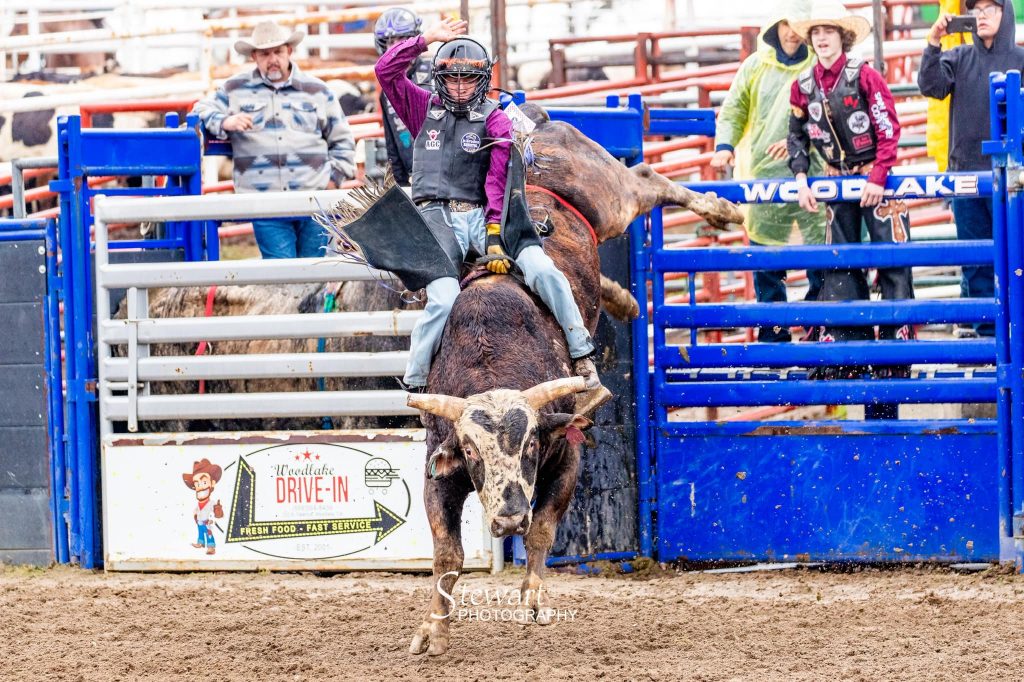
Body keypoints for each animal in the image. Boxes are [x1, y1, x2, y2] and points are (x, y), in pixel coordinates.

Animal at [404, 102, 741, 656]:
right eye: (472, 450)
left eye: (531, 446)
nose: (507, 518)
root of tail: (537, 127)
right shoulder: (441, 467)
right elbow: (447, 556)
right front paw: (432, 629)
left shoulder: (565, 452)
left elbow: (542, 530)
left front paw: (535, 601)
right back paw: (624, 301)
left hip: (608, 194)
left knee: (644, 178)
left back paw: (721, 210)